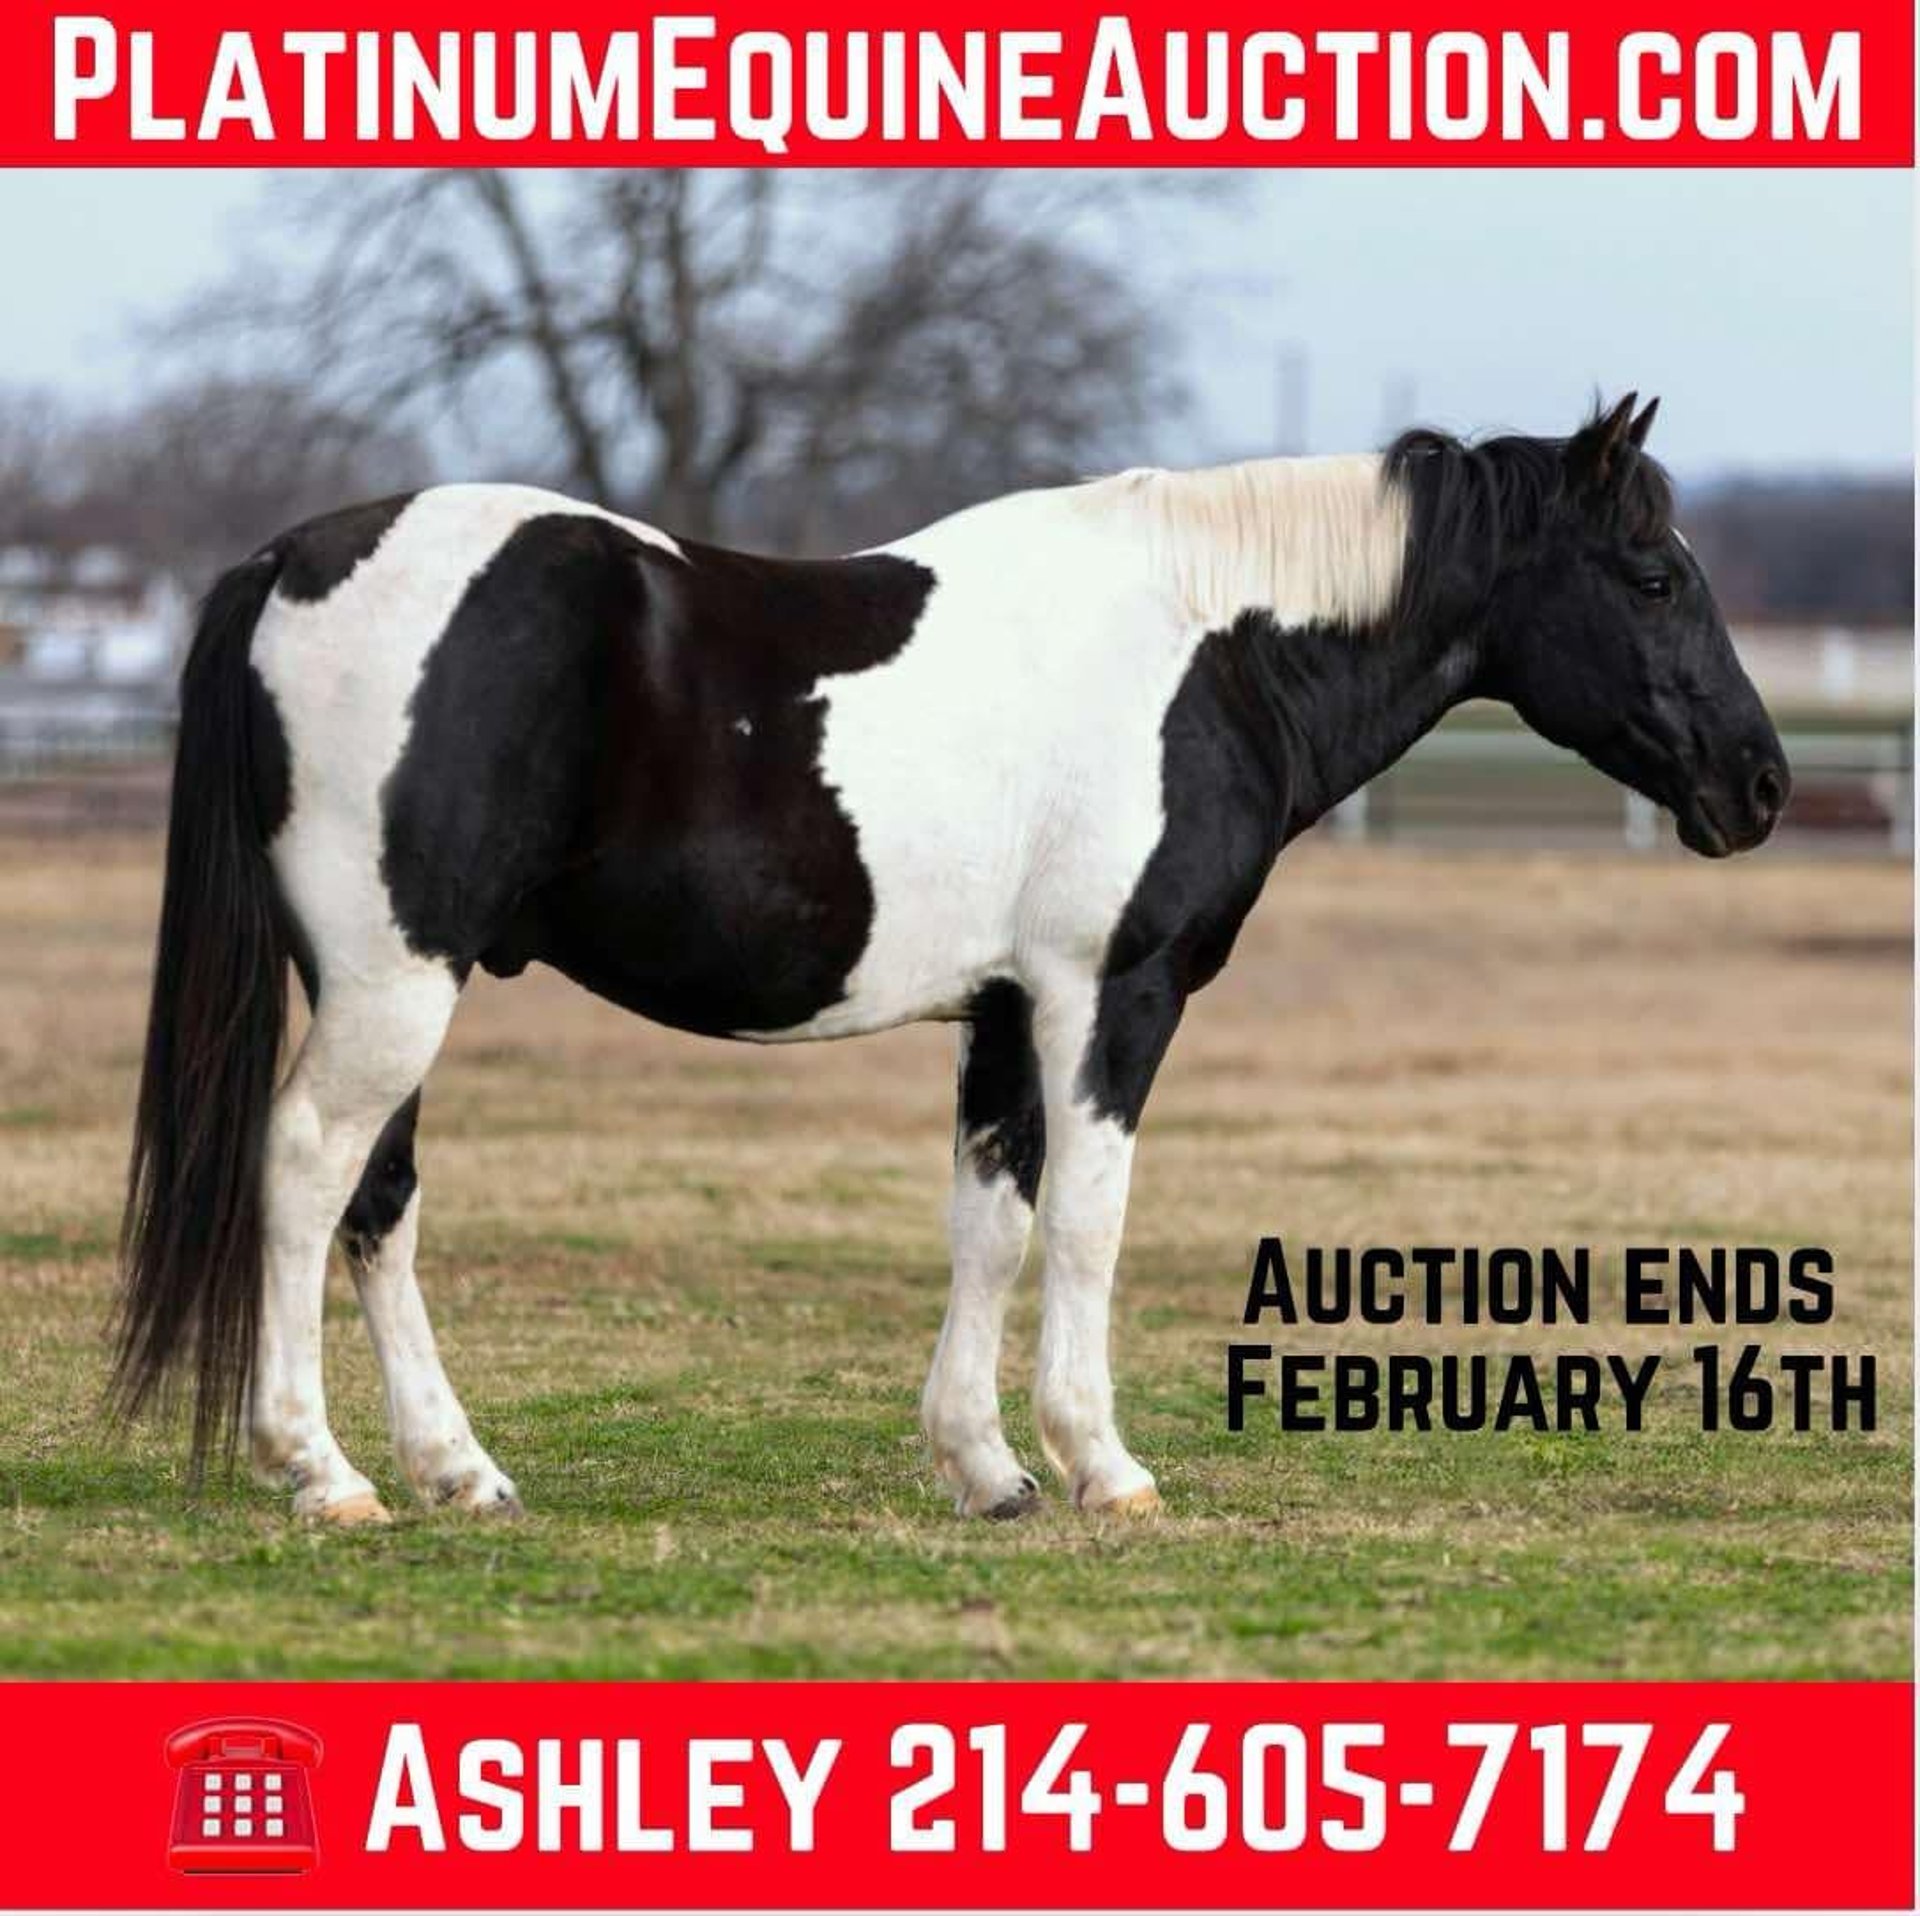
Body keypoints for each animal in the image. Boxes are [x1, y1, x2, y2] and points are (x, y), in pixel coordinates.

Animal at [113, 393, 1789, 1525]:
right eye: (1653, 579)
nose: (1760, 785)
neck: (1215, 644)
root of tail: (289, 558)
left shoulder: (1000, 1012)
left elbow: (992, 1219)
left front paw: (986, 1468)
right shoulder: (1110, 996)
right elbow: (1091, 1224)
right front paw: (1103, 1463)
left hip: (395, 986)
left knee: (377, 1200)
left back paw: (457, 1469)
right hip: (392, 985)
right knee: (307, 1170)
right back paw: (321, 1470)